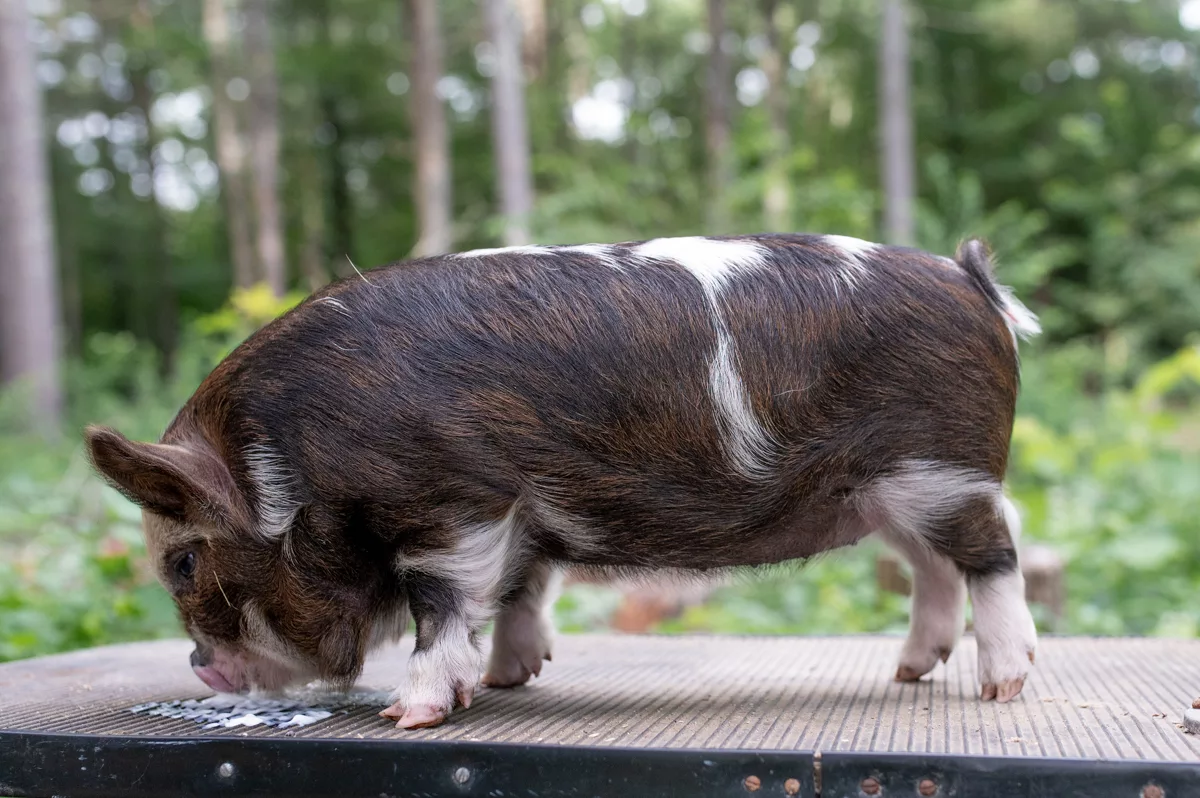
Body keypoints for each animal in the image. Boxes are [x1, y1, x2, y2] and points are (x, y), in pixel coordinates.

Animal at [85, 234, 1040, 729]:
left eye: (182, 563)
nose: (202, 670)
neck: (289, 455)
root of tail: (969, 279)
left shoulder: (453, 504)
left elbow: (442, 604)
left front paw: (411, 713)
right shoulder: (521, 517)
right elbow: (521, 586)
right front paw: (513, 678)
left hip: (939, 467)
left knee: (996, 553)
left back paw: (1002, 686)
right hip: (890, 492)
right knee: (933, 569)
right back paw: (909, 674)